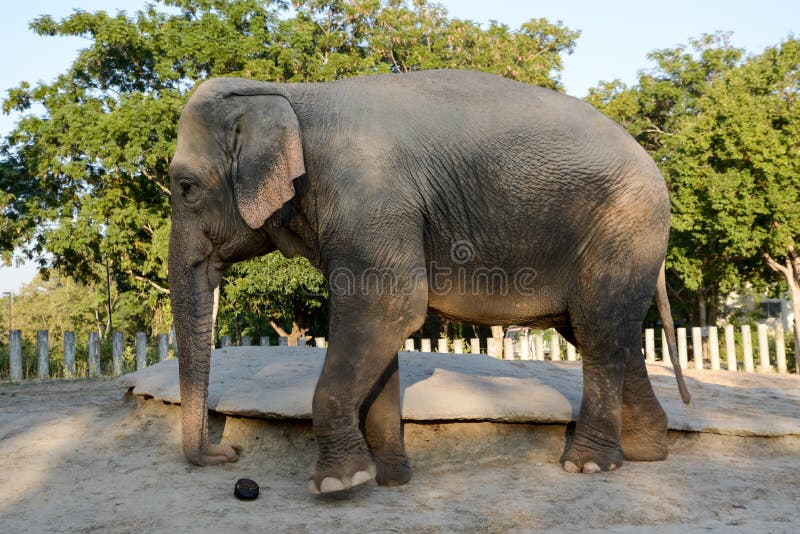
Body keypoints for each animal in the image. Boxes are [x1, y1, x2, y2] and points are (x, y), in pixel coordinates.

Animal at [167, 69, 690, 494]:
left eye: (186, 188)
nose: (229, 454)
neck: (291, 95)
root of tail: (654, 166)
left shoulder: (369, 199)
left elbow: (391, 308)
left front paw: (338, 483)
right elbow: (381, 330)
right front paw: (388, 479)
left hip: (623, 226)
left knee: (600, 333)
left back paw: (588, 467)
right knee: (607, 335)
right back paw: (643, 453)